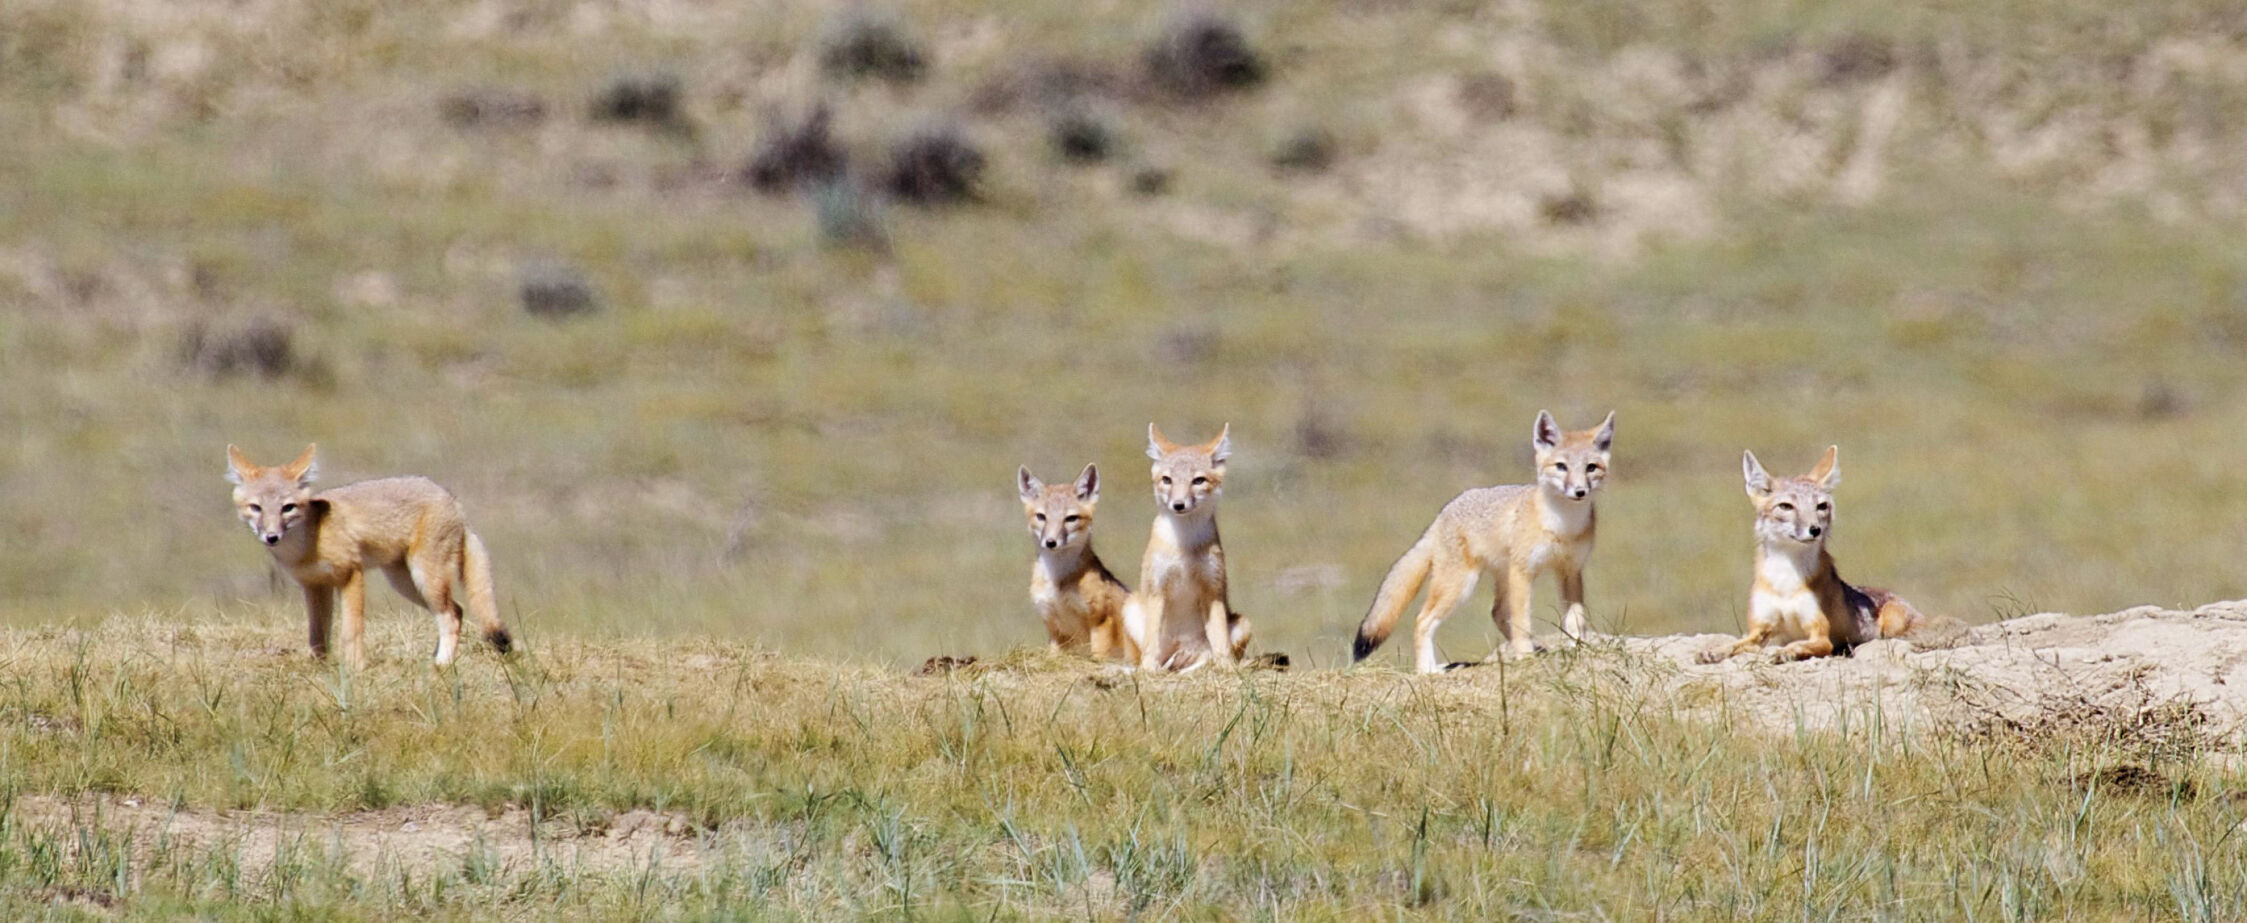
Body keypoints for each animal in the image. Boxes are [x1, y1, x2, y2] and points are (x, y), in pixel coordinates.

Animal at [226, 444, 514, 668]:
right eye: (256, 508)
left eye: (287, 508)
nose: (271, 537)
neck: (307, 545)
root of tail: (452, 499)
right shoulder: (315, 586)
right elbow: (317, 634)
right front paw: (319, 666)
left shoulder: (352, 574)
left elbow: (352, 629)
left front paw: (355, 667)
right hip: (405, 583)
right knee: (457, 610)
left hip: (425, 579)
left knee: (451, 614)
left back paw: (442, 663)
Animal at [1018, 463, 1139, 663]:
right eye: (1041, 517)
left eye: (1070, 518)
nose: (1050, 542)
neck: (1057, 582)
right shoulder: (1054, 628)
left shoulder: (1101, 620)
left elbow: (1098, 656)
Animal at [1127, 423, 1251, 672]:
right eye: (1167, 480)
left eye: (1198, 481)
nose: (1178, 504)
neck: (1183, 546)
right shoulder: (1157, 589)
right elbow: (1151, 641)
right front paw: (1147, 670)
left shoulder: (1212, 590)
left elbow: (1220, 641)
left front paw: (1228, 669)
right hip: (1131, 607)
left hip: (1243, 624)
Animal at [1353, 410, 1614, 674]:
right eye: (1561, 466)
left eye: (1591, 468)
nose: (1579, 491)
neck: (1562, 527)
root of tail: (1442, 514)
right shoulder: (1523, 571)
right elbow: (1522, 620)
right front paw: (1525, 655)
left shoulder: (1570, 570)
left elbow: (1576, 617)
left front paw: (1579, 648)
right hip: (1461, 585)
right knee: (1423, 620)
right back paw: (1427, 670)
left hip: (1497, 578)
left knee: (1496, 612)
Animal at [1698, 446, 1927, 664]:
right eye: (1786, 506)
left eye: (1821, 506)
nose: (1815, 529)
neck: (1786, 581)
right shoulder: (1760, 629)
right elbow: (1737, 645)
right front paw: (1714, 651)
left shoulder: (1820, 634)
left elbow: (1800, 645)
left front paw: (1785, 653)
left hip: (1890, 624)